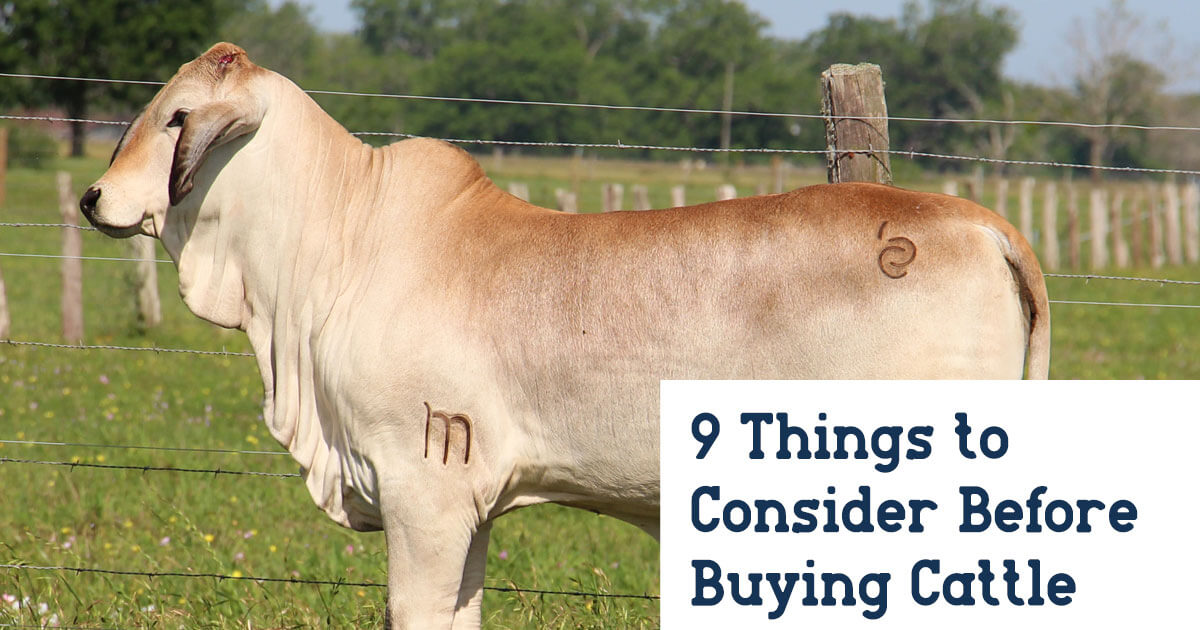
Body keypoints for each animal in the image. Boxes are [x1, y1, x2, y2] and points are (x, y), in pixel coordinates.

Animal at [80, 43, 1049, 629]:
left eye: (175, 116)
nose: (92, 197)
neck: (334, 248)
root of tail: (980, 220)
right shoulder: (468, 507)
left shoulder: (422, 493)